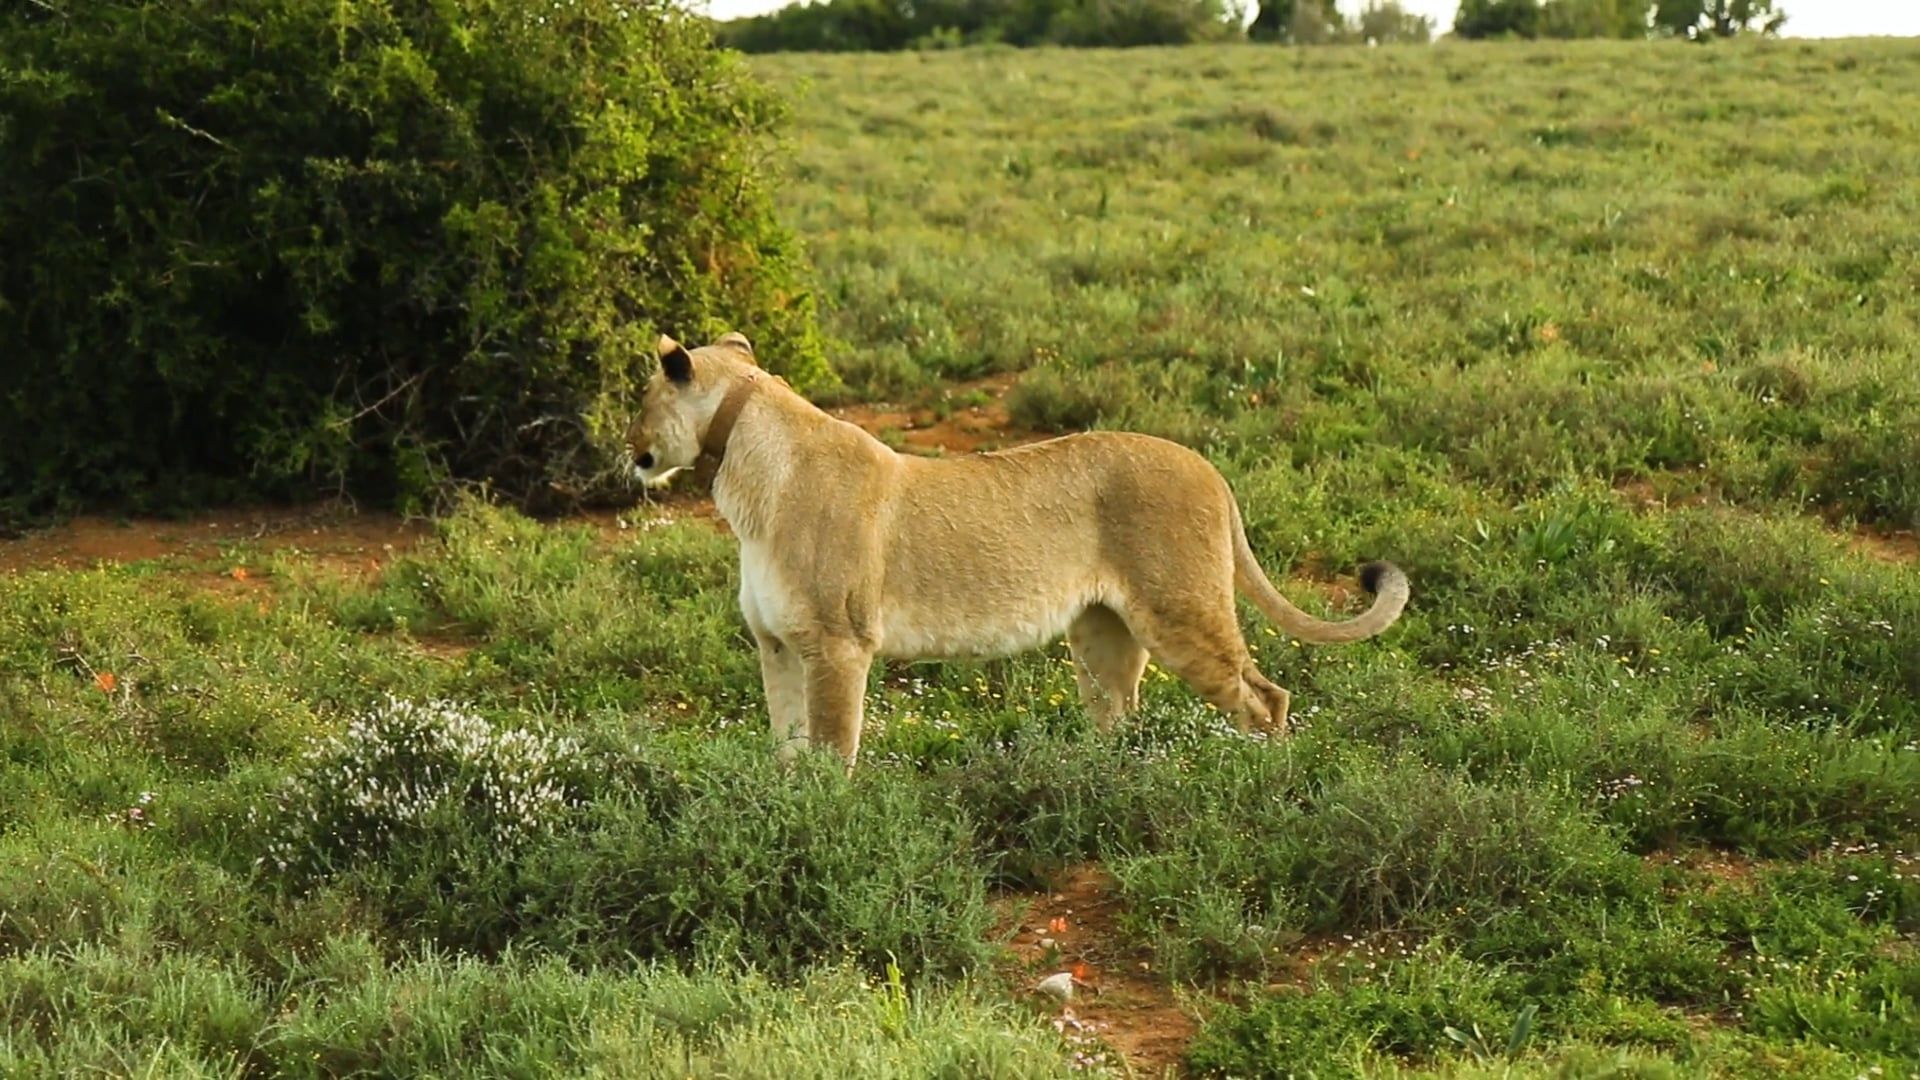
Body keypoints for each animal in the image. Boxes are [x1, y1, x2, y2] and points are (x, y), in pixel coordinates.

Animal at [627, 333, 1409, 767]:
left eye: (638, 398)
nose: (627, 449)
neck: (741, 472)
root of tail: (1210, 468)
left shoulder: (838, 643)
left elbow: (831, 748)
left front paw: (825, 825)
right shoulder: (779, 644)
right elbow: (786, 746)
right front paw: (786, 808)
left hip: (1182, 612)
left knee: (1265, 697)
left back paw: (1265, 784)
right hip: (1102, 634)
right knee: (1123, 718)